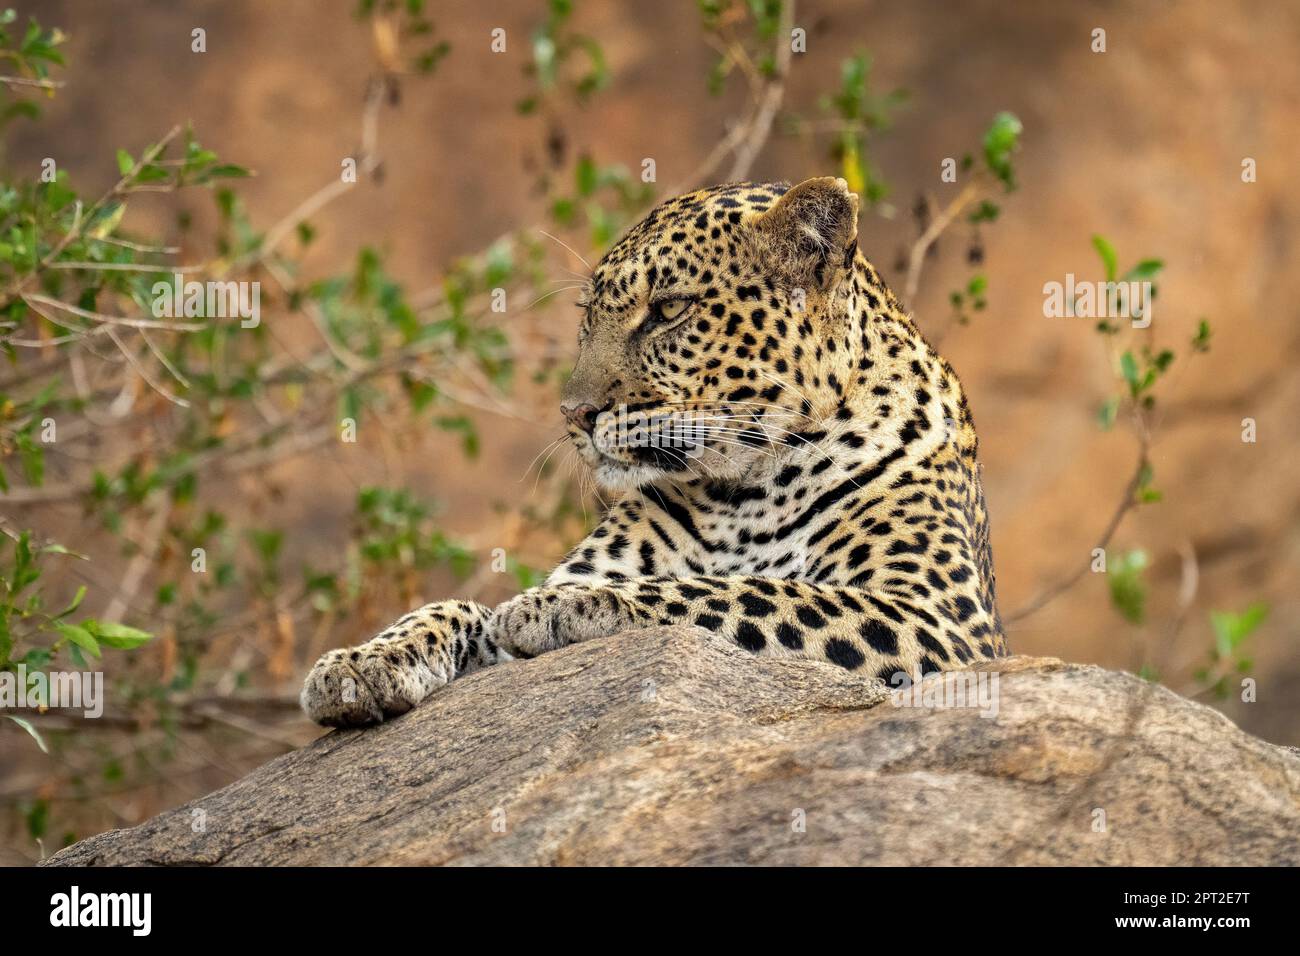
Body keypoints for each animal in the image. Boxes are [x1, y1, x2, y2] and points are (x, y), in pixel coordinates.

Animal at [300, 176, 1006, 728]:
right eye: (587, 318)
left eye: (668, 310)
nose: (574, 413)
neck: (742, 490)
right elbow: (465, 607)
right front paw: (362, 661)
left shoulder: (942, 618)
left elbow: (742, 592)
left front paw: (565, 607)